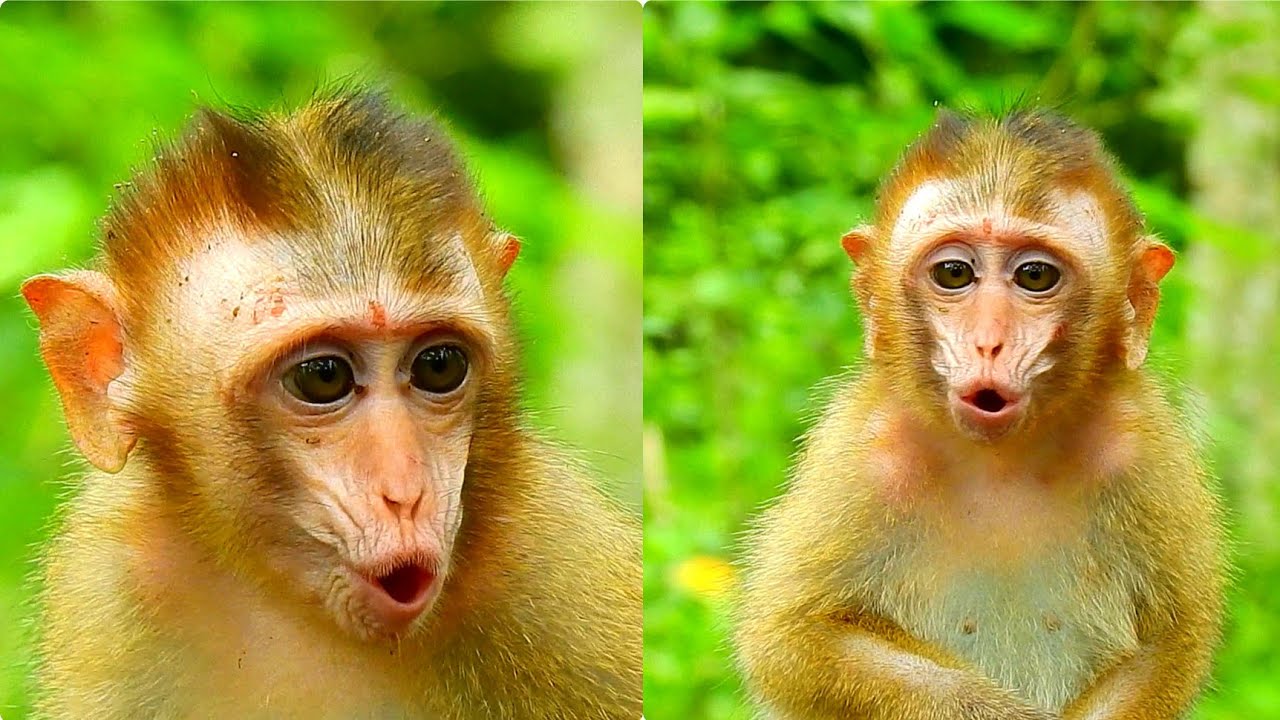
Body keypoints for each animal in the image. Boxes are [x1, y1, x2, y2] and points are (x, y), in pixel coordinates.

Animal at [734, 109, 1225, 720]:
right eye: (953, 273)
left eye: (1035, 276)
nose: (988, 341)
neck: (1001, 461)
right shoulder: (862, 453)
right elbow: (791, 639)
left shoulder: (1143, 448)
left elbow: (1171, 642)